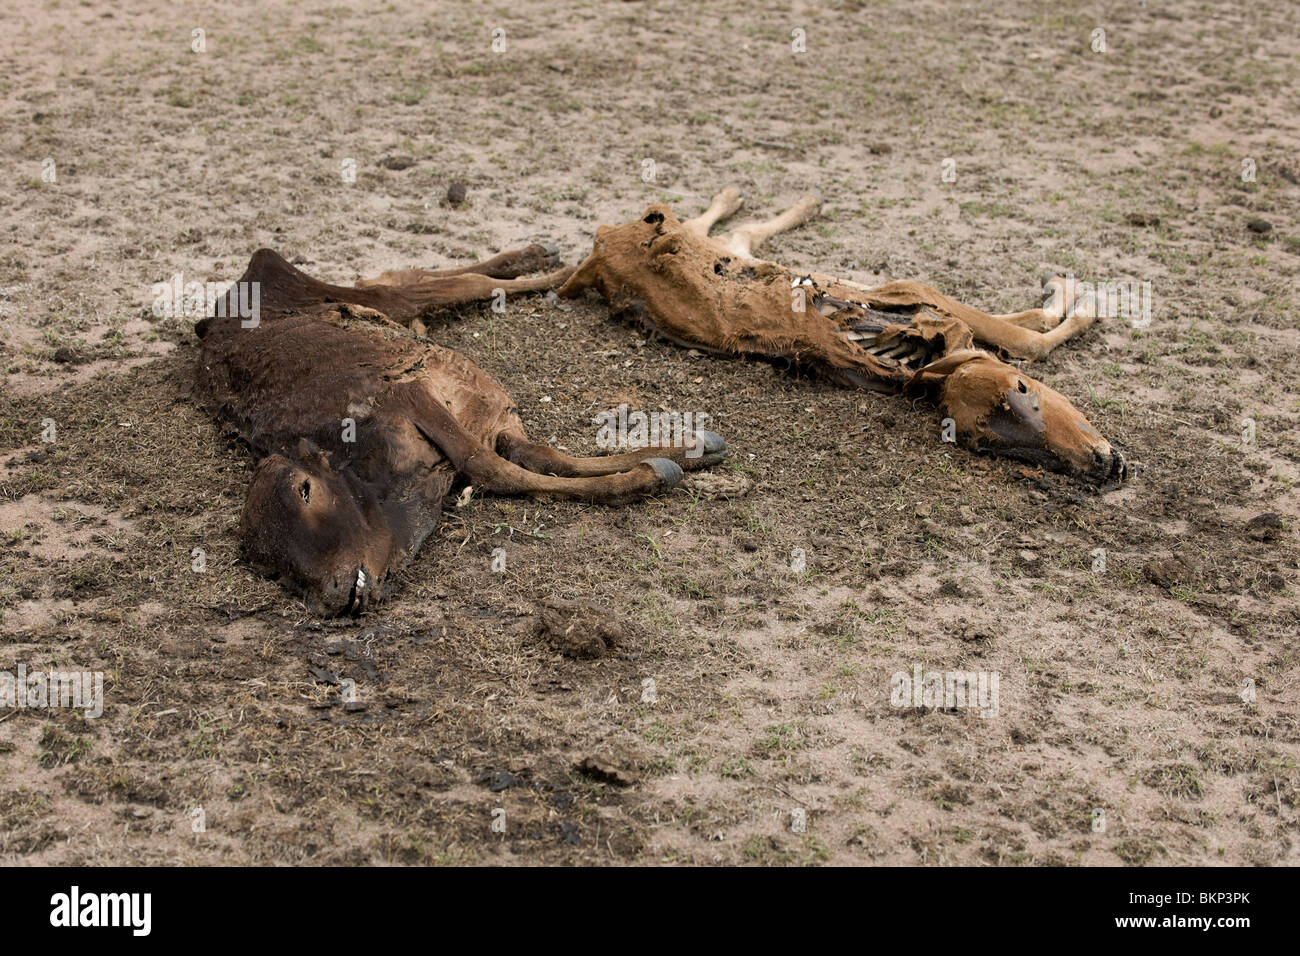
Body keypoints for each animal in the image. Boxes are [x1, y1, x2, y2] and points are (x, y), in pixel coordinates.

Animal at [195, 246, 727, 614]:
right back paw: (543, 259)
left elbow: (497, 468)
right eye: (270, 570)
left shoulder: (415, 399)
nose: (332, 597)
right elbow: (542, 462)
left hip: (362, 298)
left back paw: (562, 268)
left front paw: (667, 463)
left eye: (305, 490)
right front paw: (674, 457)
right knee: (420, 278)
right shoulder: (495, 428)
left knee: (432, 283)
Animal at [559, 188, 1128, 484]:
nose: (1103, 465)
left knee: (735, 235)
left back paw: (779, 199)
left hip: (722, 251)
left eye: (1025, 390)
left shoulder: (908, 295)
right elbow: (1028, 335)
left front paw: (1068, 289)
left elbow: (1018, 327)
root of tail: (599, 252)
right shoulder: (921, 297)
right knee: (717, 228)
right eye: (984, 441)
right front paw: (1083, 298)